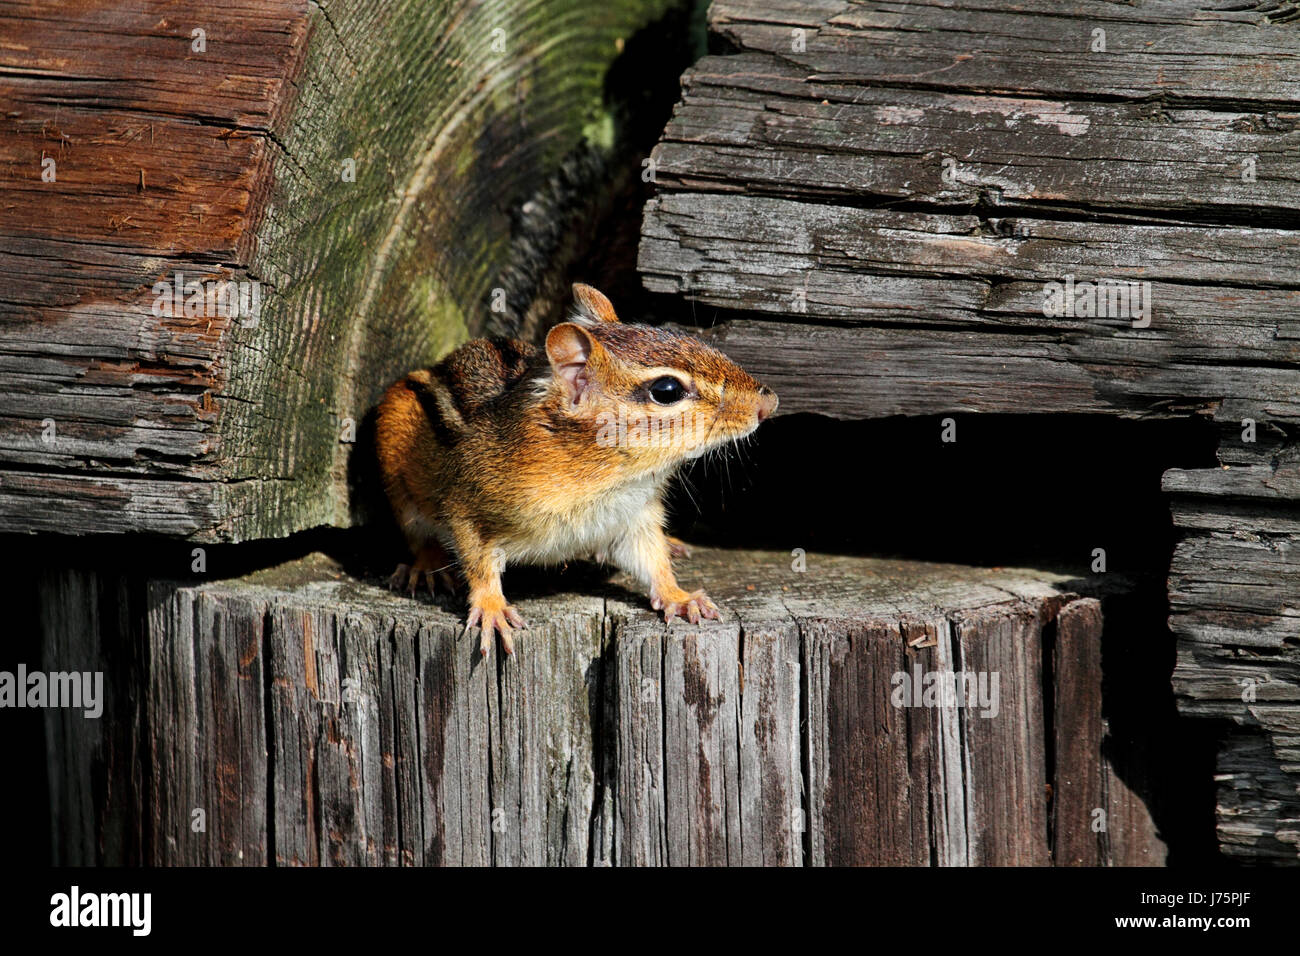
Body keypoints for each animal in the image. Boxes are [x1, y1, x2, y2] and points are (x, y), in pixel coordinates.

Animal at [374, 282, 778, 657]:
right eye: (667, 390)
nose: (769, 402)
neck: (609, 476)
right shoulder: (468, 508)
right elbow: (478, 564)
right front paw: (491, 608)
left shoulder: (634, 518)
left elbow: (652, 560)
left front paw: (679, 596)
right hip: (399, 486)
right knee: (419, 536)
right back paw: (426, 567)